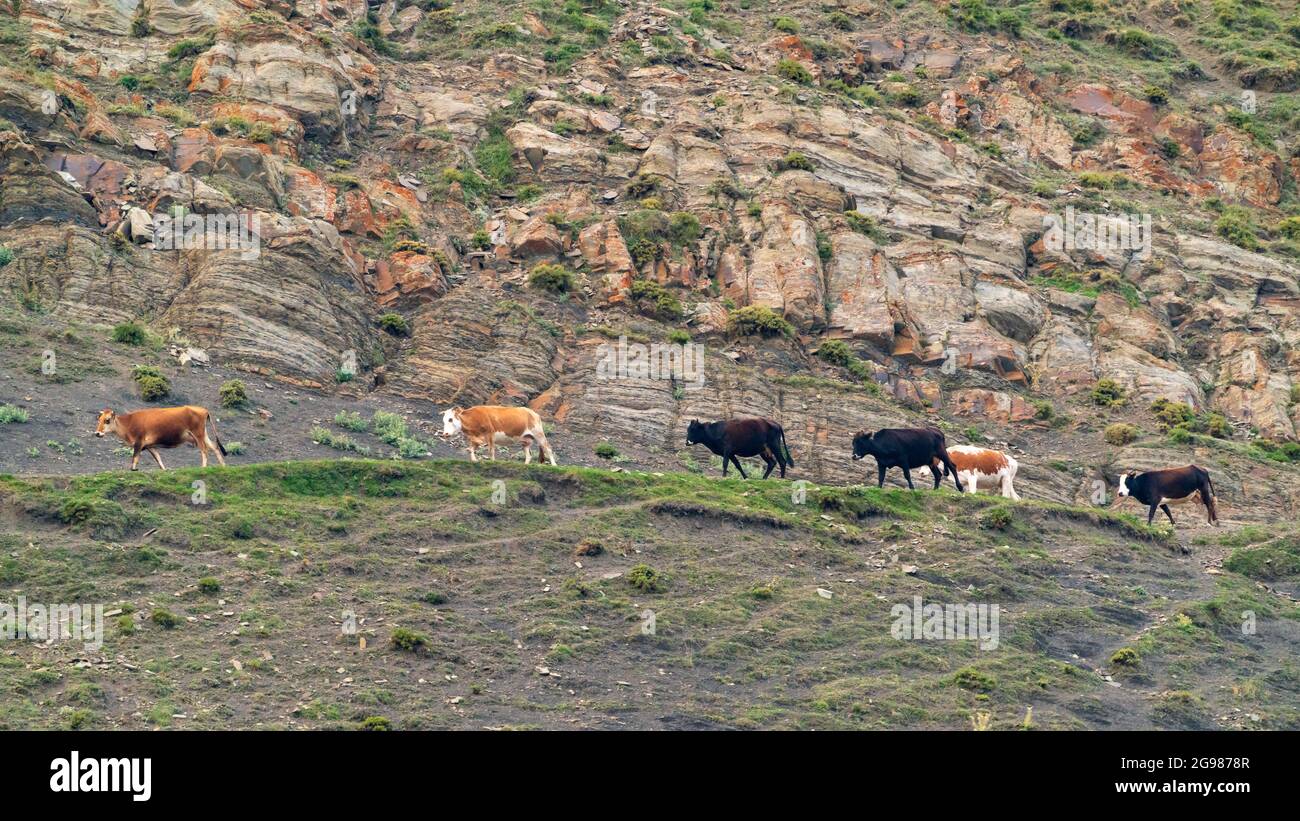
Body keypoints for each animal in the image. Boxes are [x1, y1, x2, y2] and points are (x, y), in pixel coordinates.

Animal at [95, 406, 226, 470]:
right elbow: (159, 460)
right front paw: (164, 470)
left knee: (204, 450)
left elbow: (134, 459)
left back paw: (203, 467)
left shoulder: (138, 443)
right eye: (99, 420)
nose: (97, 433)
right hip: (203, 435)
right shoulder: (150, 446)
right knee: (215, 447)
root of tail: (204, 410)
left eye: (107, 420)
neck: (129, 422)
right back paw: (223, 466)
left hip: (198, 434)